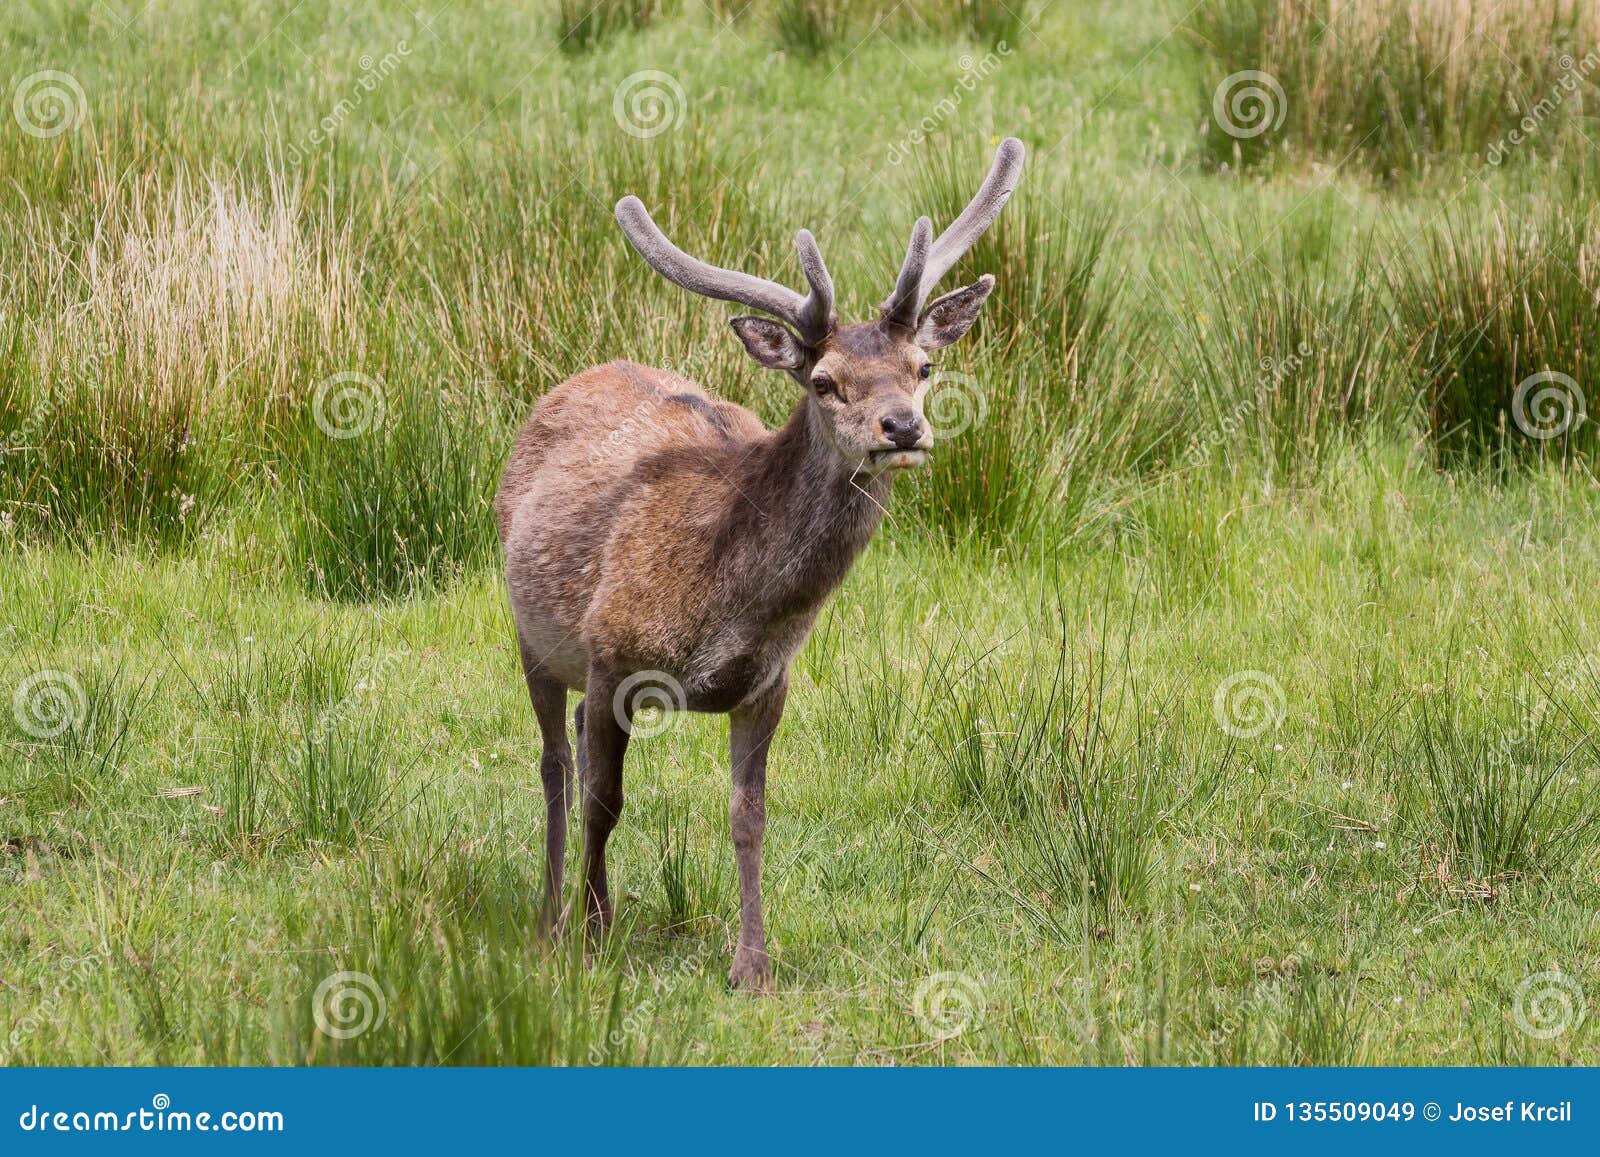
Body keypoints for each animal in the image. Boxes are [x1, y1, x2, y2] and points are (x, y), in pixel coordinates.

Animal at [494, 138, 1024, 991]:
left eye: (924, 368)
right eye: (823, 380)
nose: (903, 428)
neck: (728, 604)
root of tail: (575, 377)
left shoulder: (769, 682)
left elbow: (750, 816)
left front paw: (753, 966)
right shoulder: (612, 655)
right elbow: (605, 800)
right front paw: (593, 936)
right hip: (530, 632)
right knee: (554, 765)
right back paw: (552, 913)